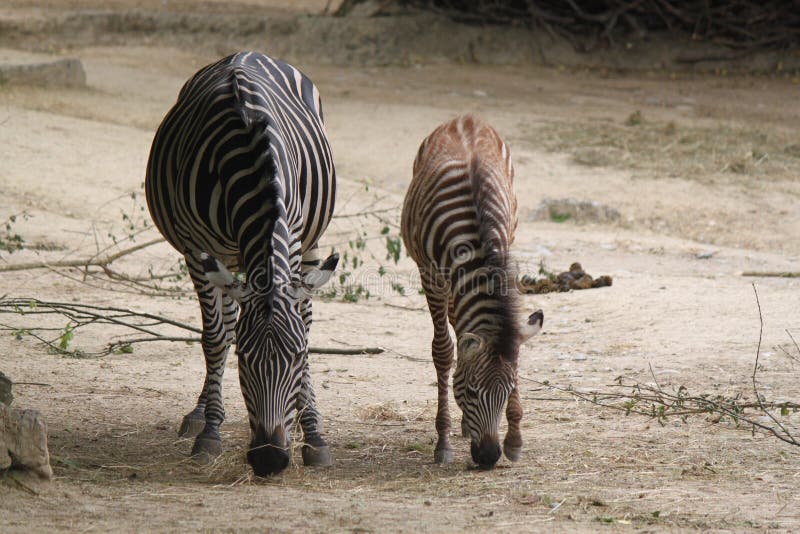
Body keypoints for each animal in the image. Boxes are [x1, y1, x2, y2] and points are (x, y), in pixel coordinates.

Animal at [145, 51, 338, 477]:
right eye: (244, 361)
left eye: (297, 358)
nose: (269, 459)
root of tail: (247, 53)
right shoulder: (197, 248)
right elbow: (217, 339)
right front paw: (210, 433)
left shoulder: (293, 239)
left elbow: (301, 327)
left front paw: (313, 434)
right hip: (222, 258)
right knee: (226, 323)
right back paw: (201, 413)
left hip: (310, 241)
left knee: (301, 313)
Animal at [401, 114, 543, 469]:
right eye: (471, 391)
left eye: (508, 391)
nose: (489, 457)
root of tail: (465, 120)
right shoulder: (431, 278)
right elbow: (443, 352)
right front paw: (443, 442)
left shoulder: (507, 260)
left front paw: (514, 438)